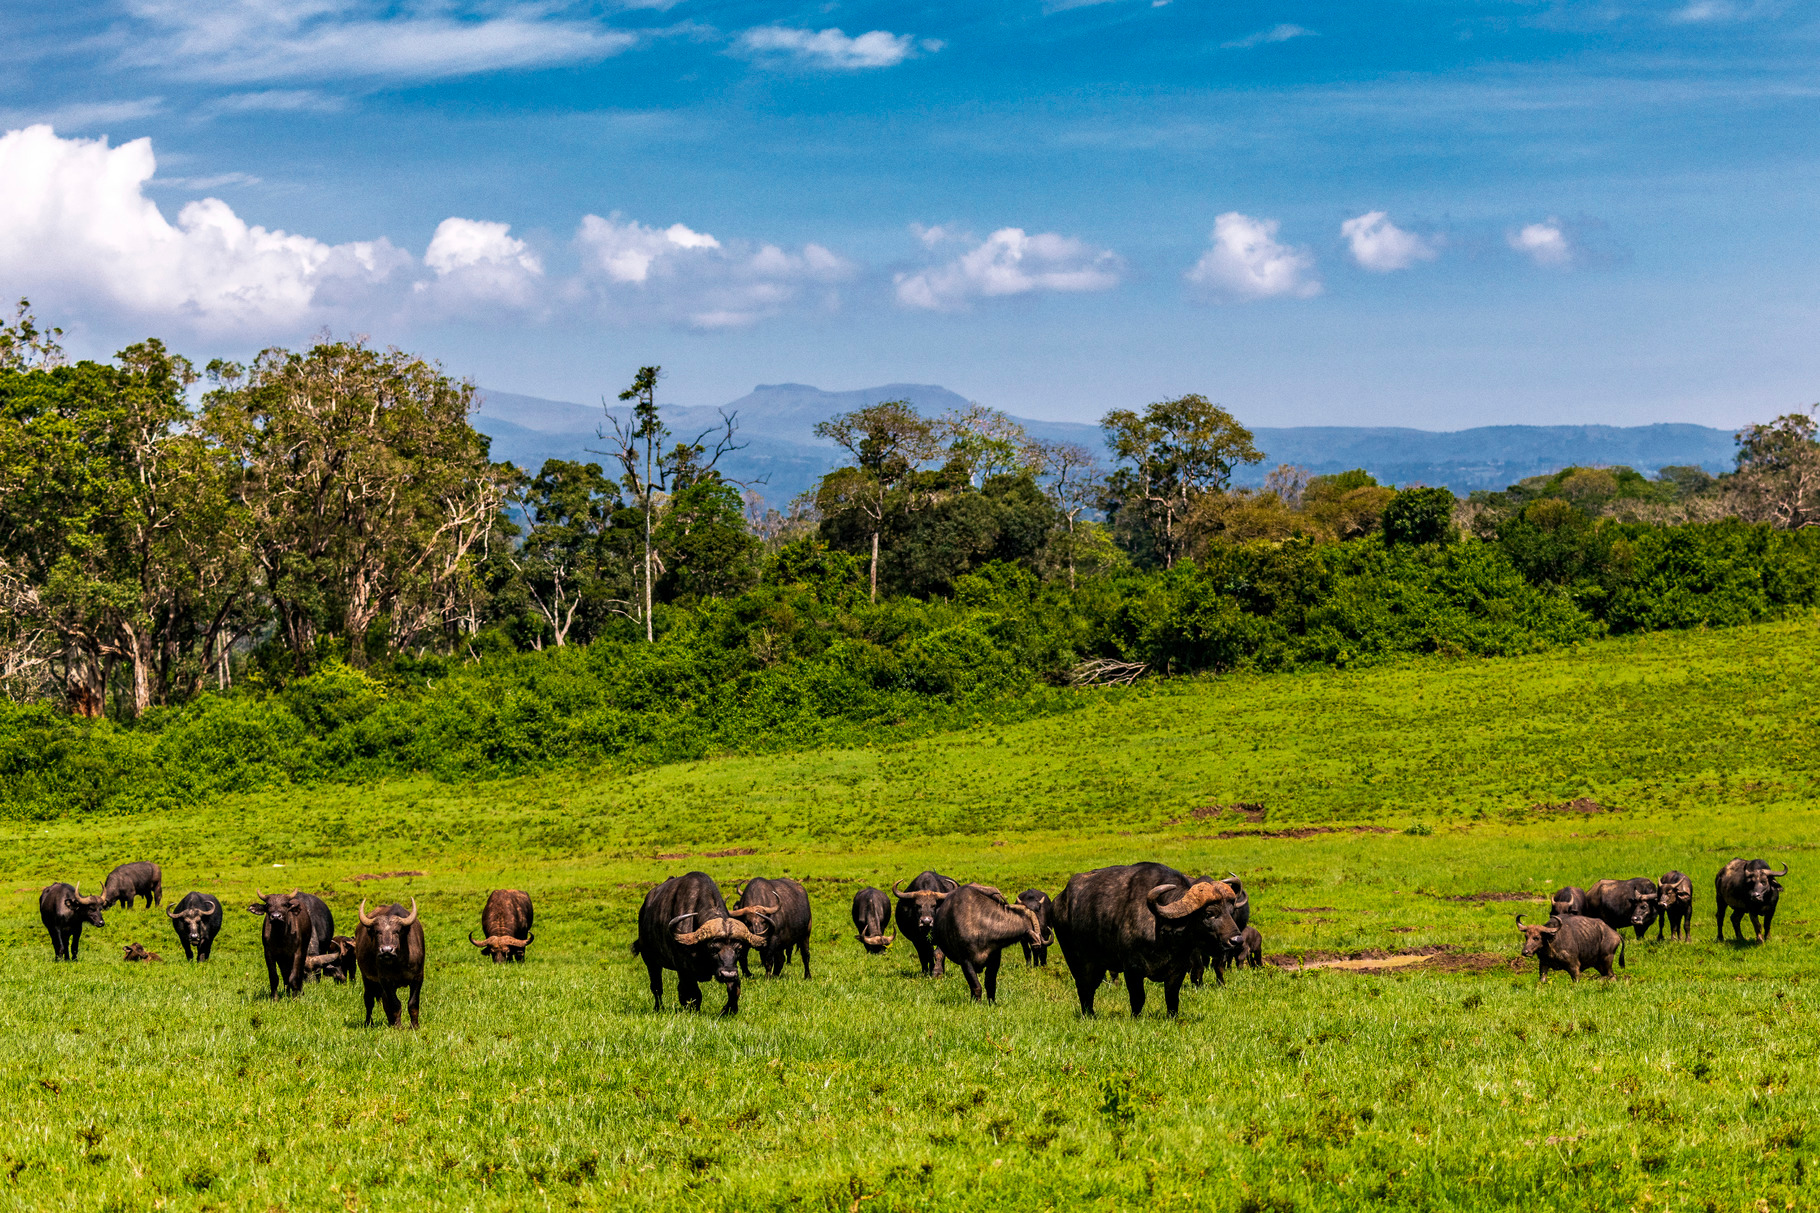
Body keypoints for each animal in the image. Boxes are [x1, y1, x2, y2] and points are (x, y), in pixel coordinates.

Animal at [355, 900, 426, 1028]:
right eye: (378, 932)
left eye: (396, 931)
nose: (387, 950)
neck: (399, 963)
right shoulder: (385, 980)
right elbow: (395, 1004)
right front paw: (398, 1026)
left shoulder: (418, 977)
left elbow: (413, 1003)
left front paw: (414, 1026)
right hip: (366, 977)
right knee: (369, 999)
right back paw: (369, 1023)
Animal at [632, 872, 774, 1016]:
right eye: (713, 948)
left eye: (738, 949)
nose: (728, 974)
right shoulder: (684, 968)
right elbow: (694, 993)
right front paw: (694, 1010)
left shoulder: (730, 970)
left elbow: (735, 990)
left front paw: (728, 1009)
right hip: (650, 960)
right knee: (657, 987)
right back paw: (659, 1008)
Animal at [1052, 862, 1245, 1017]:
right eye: (1209, 913)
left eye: (1231, 910)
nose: (1236, 940)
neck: (1162, 931)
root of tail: (1060, 900)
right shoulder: (1132, 968)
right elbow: (1138, 998)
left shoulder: (1179, 969)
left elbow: (1172, 998)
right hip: (1078, 961)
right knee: (1084, 988)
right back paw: (1089, 1015)